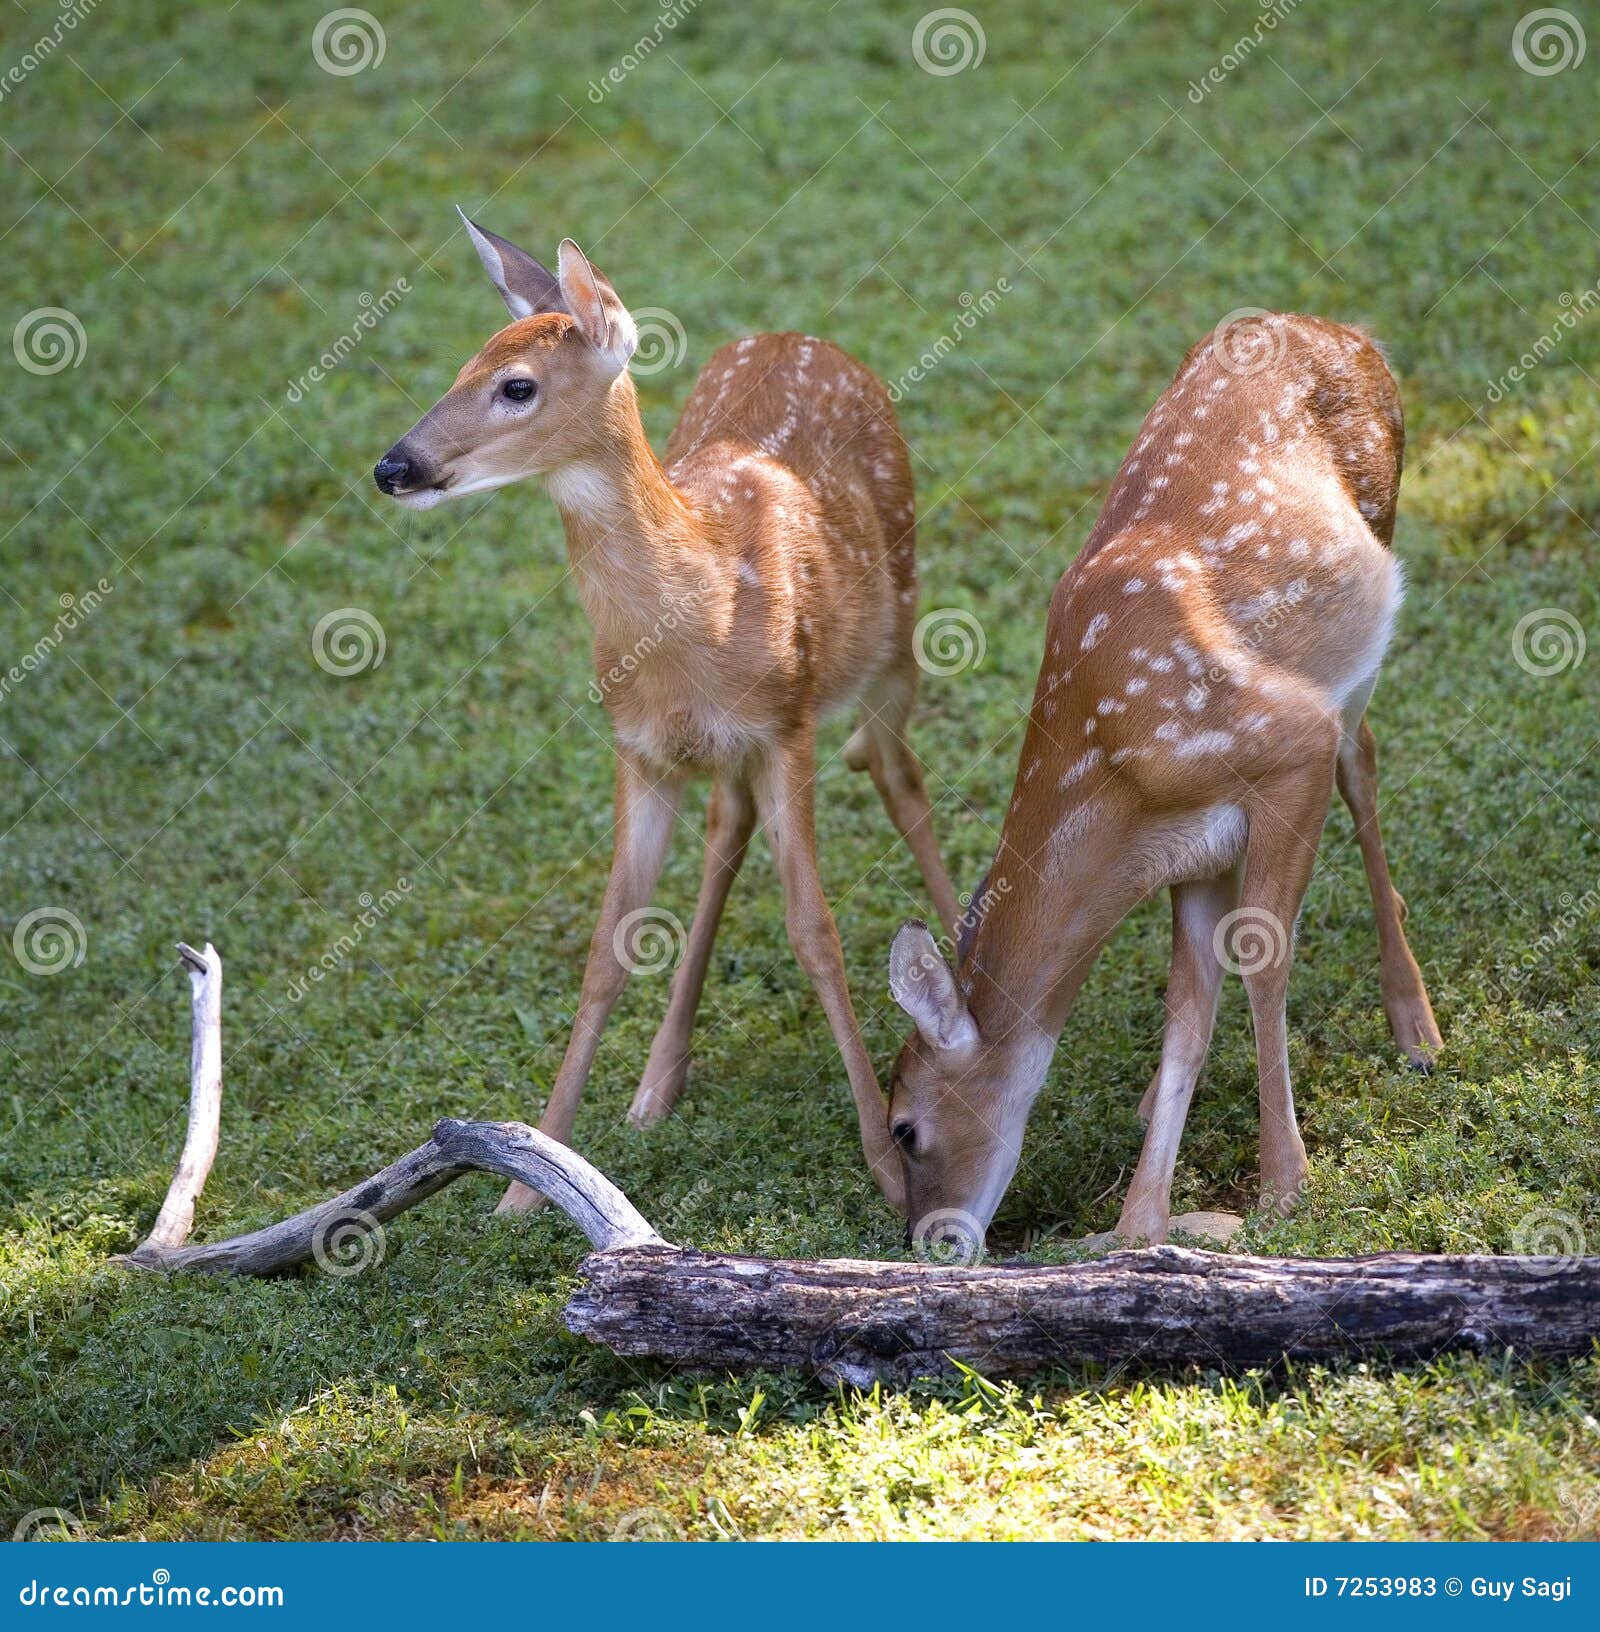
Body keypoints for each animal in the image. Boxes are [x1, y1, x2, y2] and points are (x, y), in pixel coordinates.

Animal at [373, 213, 960, 1216]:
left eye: (516, 386)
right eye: (461, 366)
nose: (393, 466)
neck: (696, 618)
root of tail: (800, 336)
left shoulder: (788, 723)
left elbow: (814, 930)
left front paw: (885, 1166)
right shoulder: (637, 750)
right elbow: (608, 944)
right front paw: (528, 1179)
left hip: (895, 640)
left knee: (895, 772)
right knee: (732, 818)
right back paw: (658, 1080)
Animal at [883, 313, 1442, 1250]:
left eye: (903, 1129)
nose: (932, 1239)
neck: (1115, 767)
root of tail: (1345, 329)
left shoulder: (1286, 744)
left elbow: (1262, 960)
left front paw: (1283, 1189)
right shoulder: (1193, 850)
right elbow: (1189, 1009)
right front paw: (1139, 1222)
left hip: (1368, 594)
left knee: (1361, 761)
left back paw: (1416, 1025)